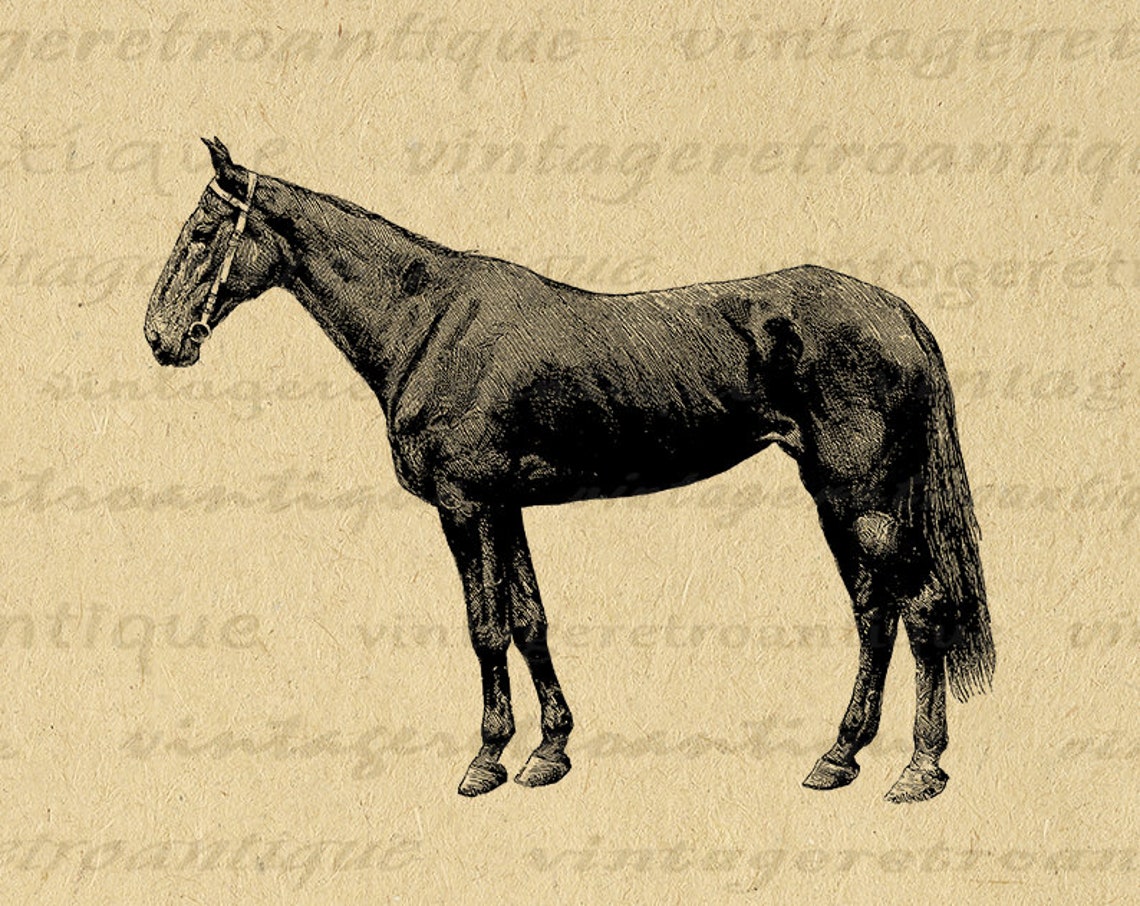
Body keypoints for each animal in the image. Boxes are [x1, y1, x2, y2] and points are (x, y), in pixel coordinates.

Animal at [144, 138, 993, 803]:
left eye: (203, 231)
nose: (159, 337)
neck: (428, 322)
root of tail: (896, 311)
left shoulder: (464, 505)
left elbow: (484, 627)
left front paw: (486, 758)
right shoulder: (505, 505)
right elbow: (528, 619)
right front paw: (549, 750)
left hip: (862, 499)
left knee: (921, 607)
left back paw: (918, 769)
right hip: (836, 497)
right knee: (874, 611)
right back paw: (839, 755)